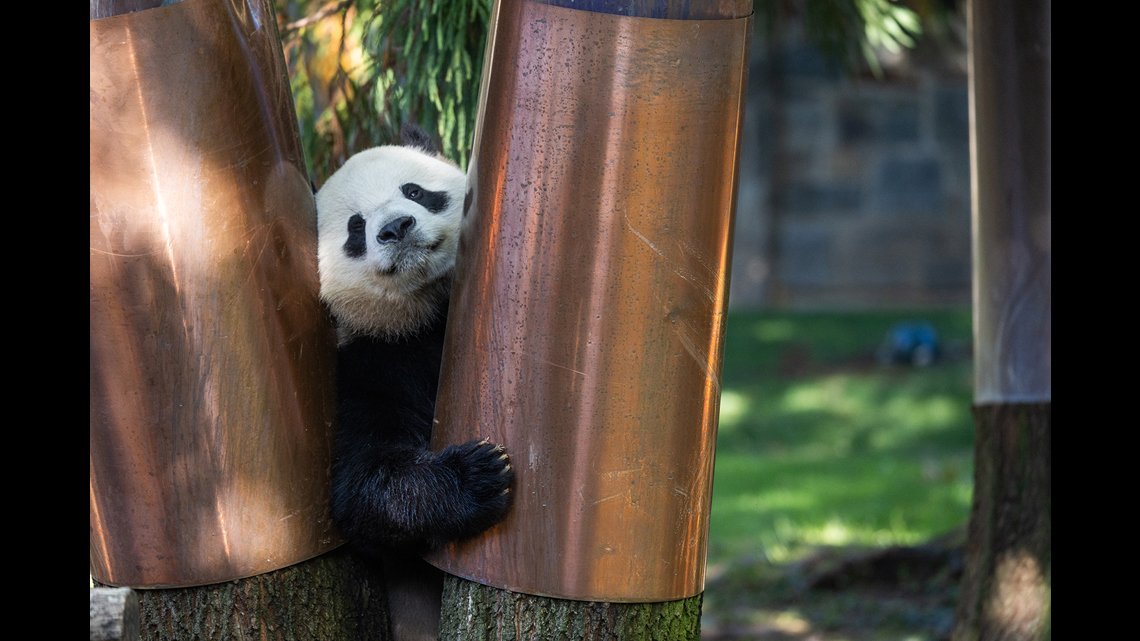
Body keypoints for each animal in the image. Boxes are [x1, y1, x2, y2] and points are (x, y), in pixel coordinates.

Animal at [316, 124, 514, 639]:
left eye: (414, 192)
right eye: (356, 227)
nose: (396, 228)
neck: (424, 311)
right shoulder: (369, 366)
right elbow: (363, 485)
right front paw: (480, 474)